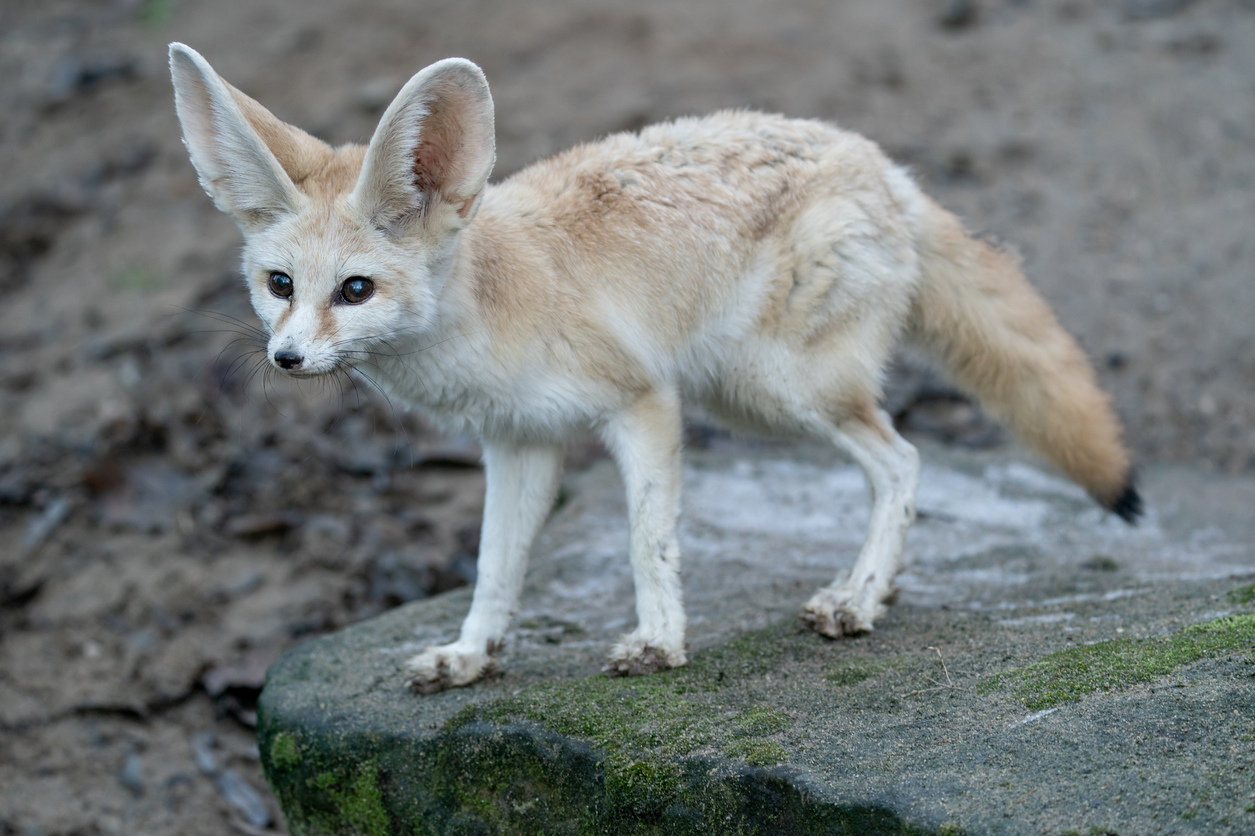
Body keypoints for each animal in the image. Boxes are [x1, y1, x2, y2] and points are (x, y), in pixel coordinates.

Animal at [168, 44, 1141, 695]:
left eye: (356, 289)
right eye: (280, 285)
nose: (287, 358)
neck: (493, 305)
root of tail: (882, 164)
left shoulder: (643, 404)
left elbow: (648, 540)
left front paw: (659, 642)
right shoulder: (518, 444)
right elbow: (494, 569)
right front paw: (471, 655)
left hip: (774, 392)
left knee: (902, 461)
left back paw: (858, 596)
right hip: (755, 396)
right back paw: (883, 586)